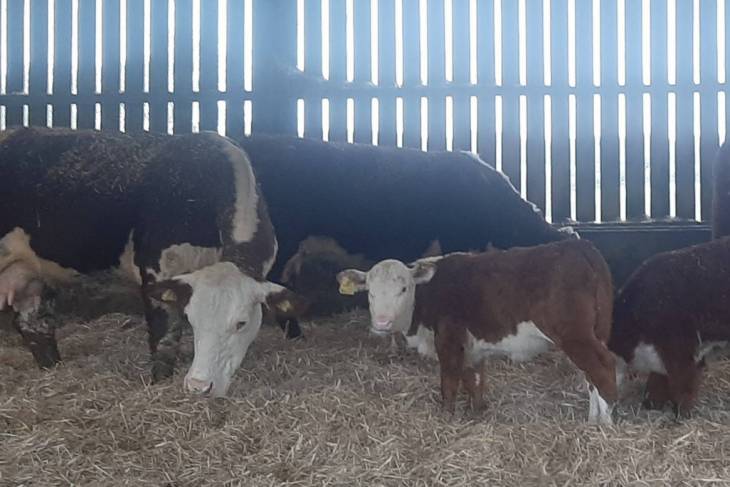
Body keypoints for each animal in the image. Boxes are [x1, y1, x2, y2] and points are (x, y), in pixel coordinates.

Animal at [0, 127, 304, 397]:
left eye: (241, 323)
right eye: (192, 320)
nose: (199, 386)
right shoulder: (157, 272)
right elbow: (164, 338)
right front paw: (160, 384)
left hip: (29, 274)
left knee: (34, 324)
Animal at [337, 240, 617, 424]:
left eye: (403, 288)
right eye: (370, 292)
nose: (382, 323)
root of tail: (578, 246)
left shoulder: (448, 339)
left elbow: (450, 380)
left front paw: (447, 416)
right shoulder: (473, 346)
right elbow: (474, 379)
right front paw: (477, 411)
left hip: (575, 335)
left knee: (601, 367)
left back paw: (606, 421)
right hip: (596, 332)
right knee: (590, 375)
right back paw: (593, 419)